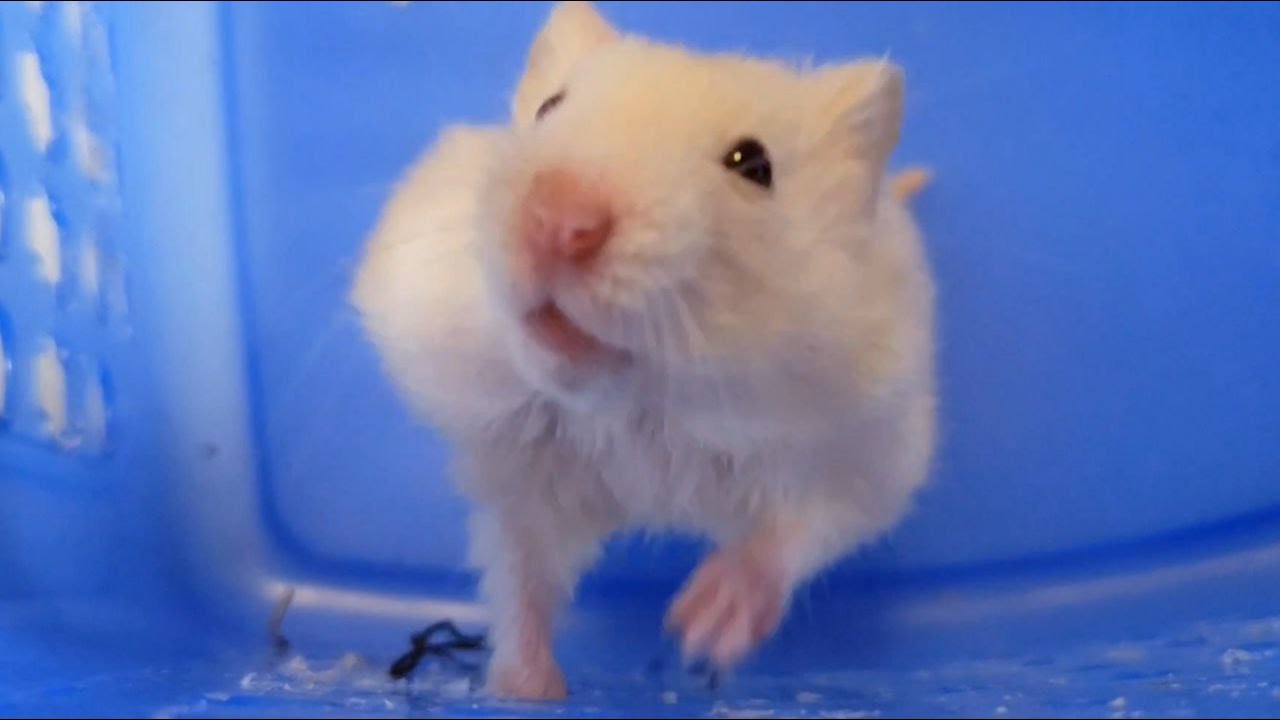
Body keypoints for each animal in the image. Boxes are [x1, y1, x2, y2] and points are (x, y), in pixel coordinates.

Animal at [350, 1, 937, 701]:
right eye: (549, 107)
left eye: (753, 164)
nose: (560, 221)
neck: (637, 406)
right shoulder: (521, 476)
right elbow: (520, 577)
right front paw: (529, 689)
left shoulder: (866, 452)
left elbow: (800, 528)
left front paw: (702, 624)